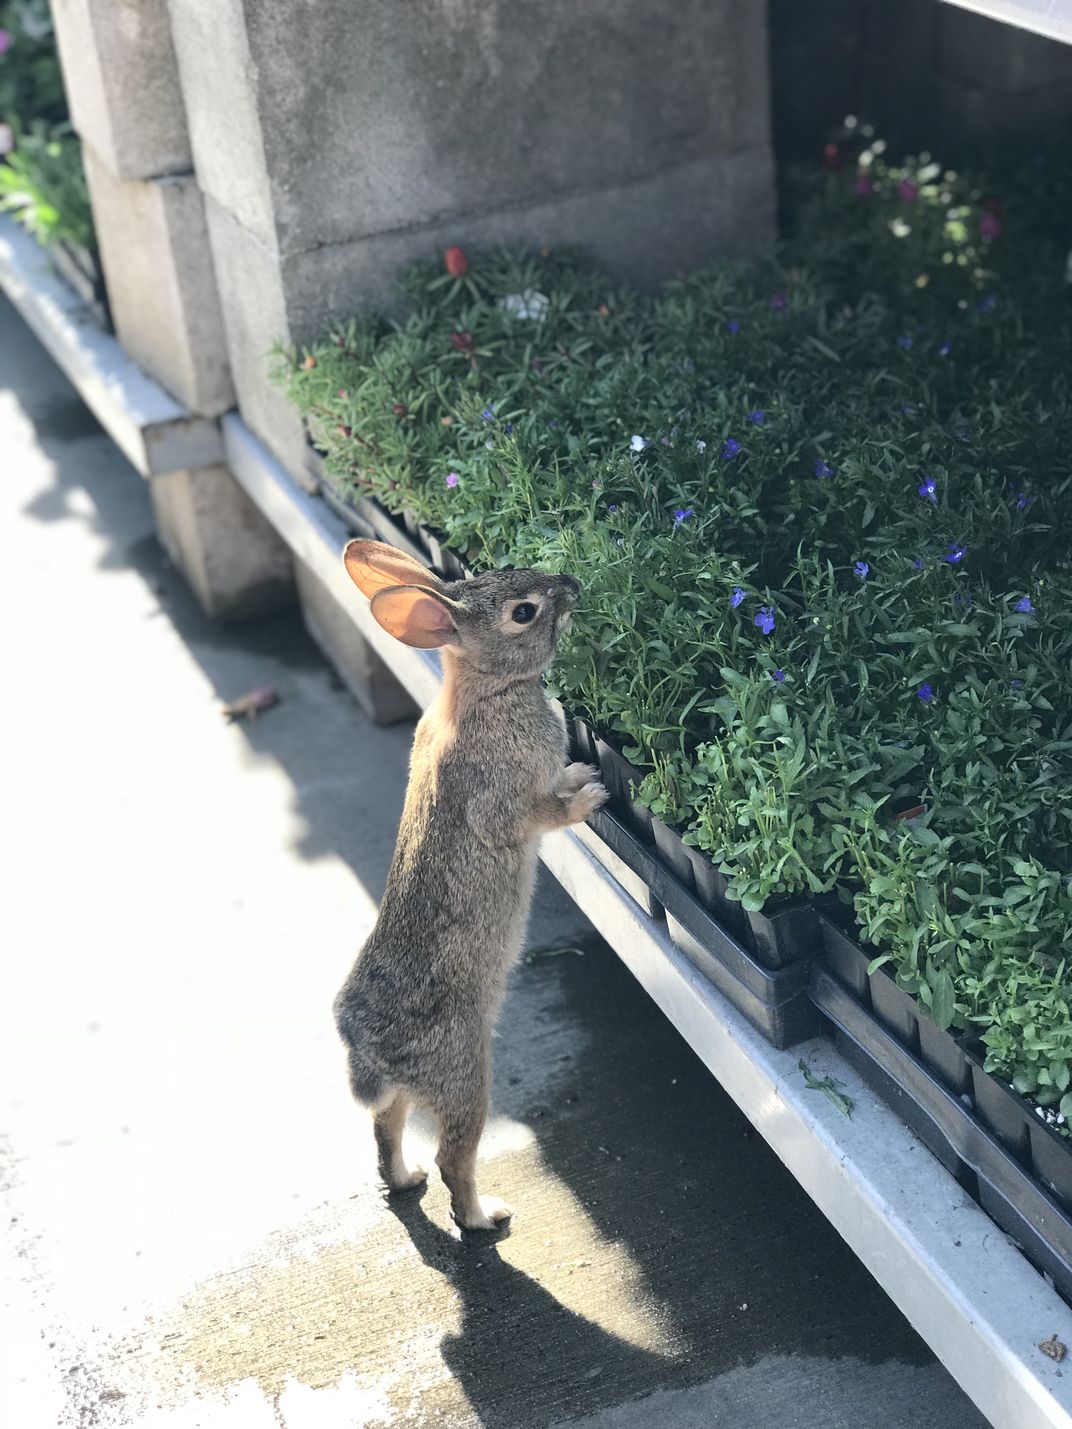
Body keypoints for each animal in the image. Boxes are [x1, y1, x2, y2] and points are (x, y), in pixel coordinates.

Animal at [333, 540, 607, 1231]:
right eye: (524, 611)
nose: (572, 584)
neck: (489, 690)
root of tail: (366, 1048)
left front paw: (583, 774)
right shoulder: (504, 801)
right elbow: (535, 816)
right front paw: (588, 792)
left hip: (412, 1096)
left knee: (386, 1127)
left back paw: (405, 1179)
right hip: (464, 1073)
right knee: (456, 1158)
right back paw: (486, 1218)